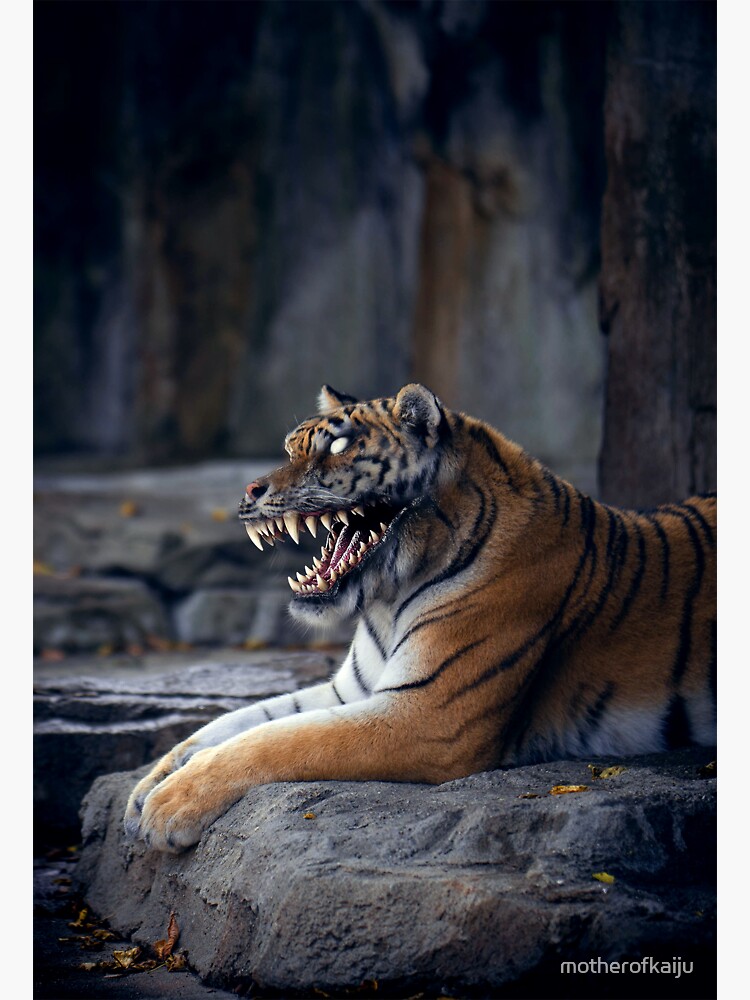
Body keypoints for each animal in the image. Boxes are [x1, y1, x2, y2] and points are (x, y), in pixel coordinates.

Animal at [124, 383, 717, 852]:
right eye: (291, 447)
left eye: (337, 447)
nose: (249, 491)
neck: (387, 600)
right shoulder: (350, 691)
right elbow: (238, 722)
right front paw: (147, 787)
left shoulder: (428, 714)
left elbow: (279, 740)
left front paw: (170, 804)